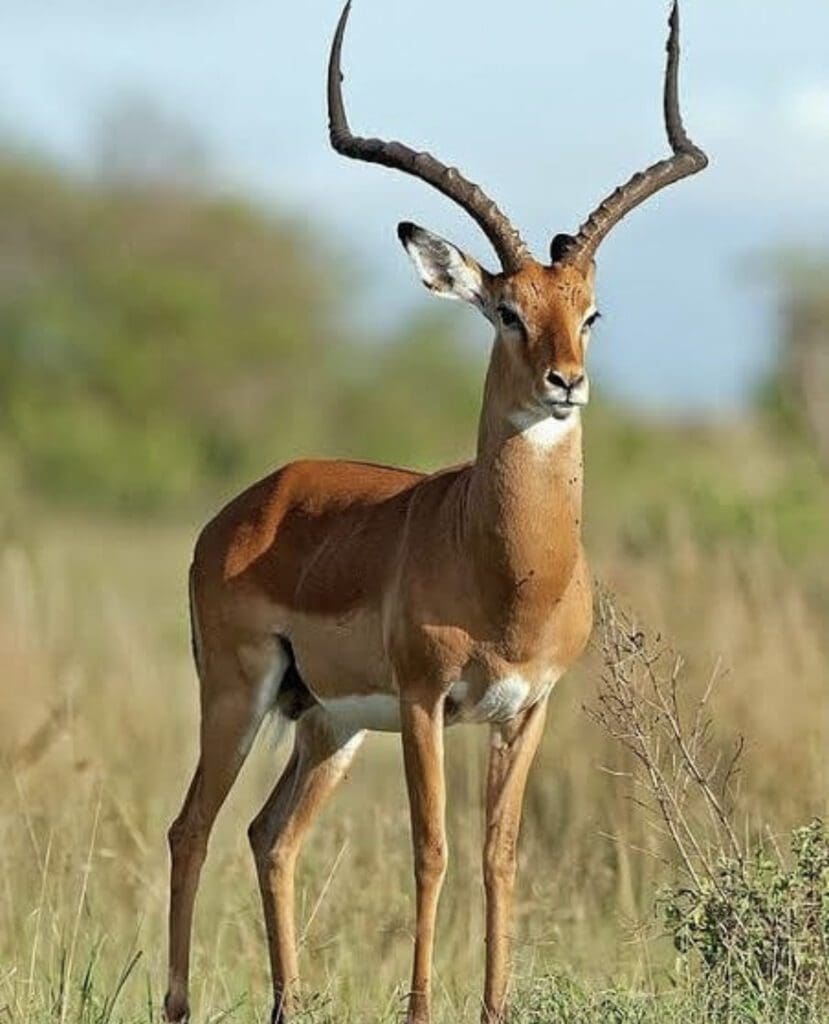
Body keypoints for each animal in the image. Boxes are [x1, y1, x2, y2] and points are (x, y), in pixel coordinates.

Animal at [163, 3, 708, 1022]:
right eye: (503, 310)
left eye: (590, 312)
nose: (564, 382)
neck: (507, 576)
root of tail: (248, 505)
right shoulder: (424, 702)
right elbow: (431, 853)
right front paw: (420, 1007)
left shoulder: (523, 710)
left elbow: (498, 857)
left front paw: (494, 1006)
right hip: (238, 693)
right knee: (192, 829)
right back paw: (177, 1004)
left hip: (324, 725)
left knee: (269, 837)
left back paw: (288, 1003)